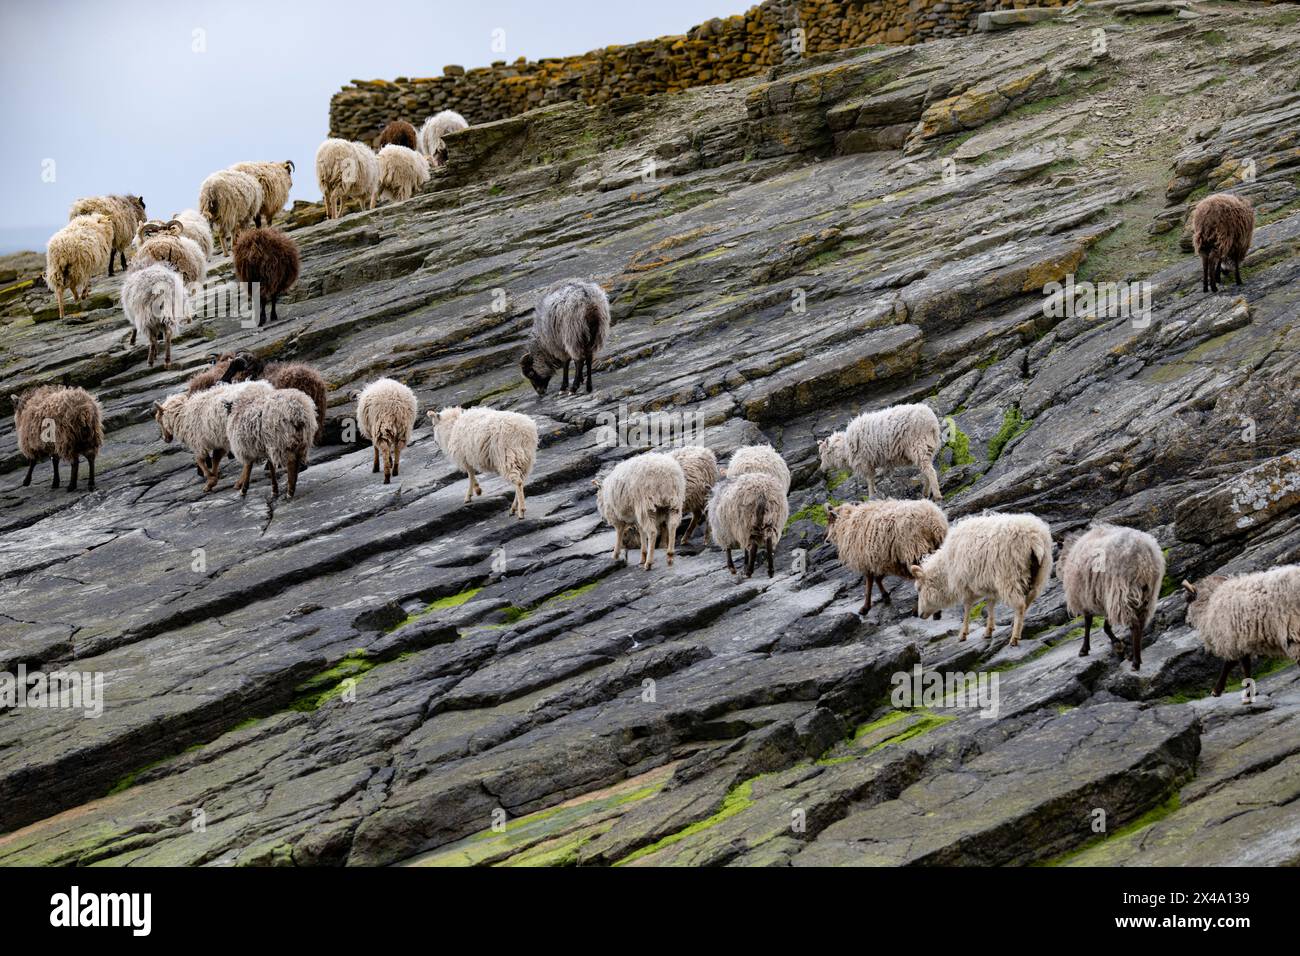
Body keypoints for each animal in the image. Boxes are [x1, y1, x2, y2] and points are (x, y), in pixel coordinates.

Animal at [909, 512, 1053, 647]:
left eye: (919, 589)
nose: (919, 614)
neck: (945, 571)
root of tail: (1034, 538)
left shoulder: (965, 585)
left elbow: (967, 608)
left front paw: (963, 634)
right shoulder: (989, 585)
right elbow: (990, 605)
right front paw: (989, 630)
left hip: (1008, 576)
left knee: (1020, 605)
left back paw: (1014, 638)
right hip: (1040, 574)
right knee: (1029, 600)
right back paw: (1016, 624)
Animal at [1057, 523, 1165, 671]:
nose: (1057, 569)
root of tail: (1144, 553)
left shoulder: (1085, 596)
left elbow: (1088, 622)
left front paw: (1085, 649)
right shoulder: (1105, 595)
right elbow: (1106, 624)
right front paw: (1117, 643)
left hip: (1121, 590)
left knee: (1135, 624)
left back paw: (1135, 663)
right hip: (1148, 592)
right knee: (1141, 623)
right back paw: (1135, 656)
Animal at [1183, 566, 1300, 697]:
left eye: (1188, 599)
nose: (1186, 621)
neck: (1210, 602)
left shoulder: (1231, 637)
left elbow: (1230, 664)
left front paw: (1217, 690)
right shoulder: (1241, 639)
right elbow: (1245, 665)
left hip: (1291, 628)